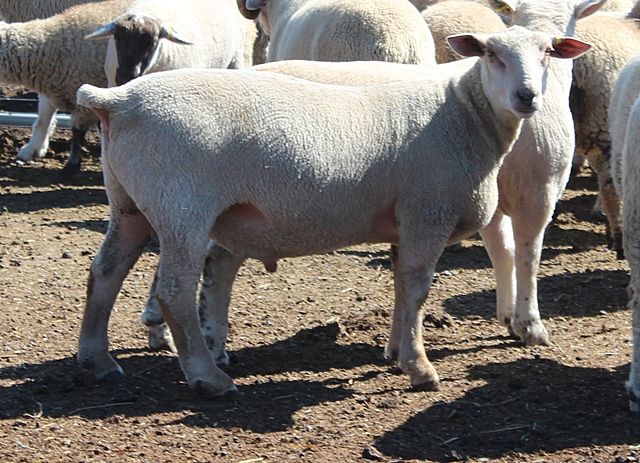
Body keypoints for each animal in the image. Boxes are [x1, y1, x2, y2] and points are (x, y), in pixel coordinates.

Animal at [75, 26, 588, 394]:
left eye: (547, 53)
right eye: (490, 54)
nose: (528, 97)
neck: (463, 115)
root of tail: (116, 100)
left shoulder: (402, 221)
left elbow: (401, 287)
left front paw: (396, 351)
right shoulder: (427, 213)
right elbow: (418, 289)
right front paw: (419, 367)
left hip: (130, 204)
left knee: (105, 271)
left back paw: (97, 361)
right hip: (181, 207)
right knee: (175, 290)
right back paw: (207, 377)